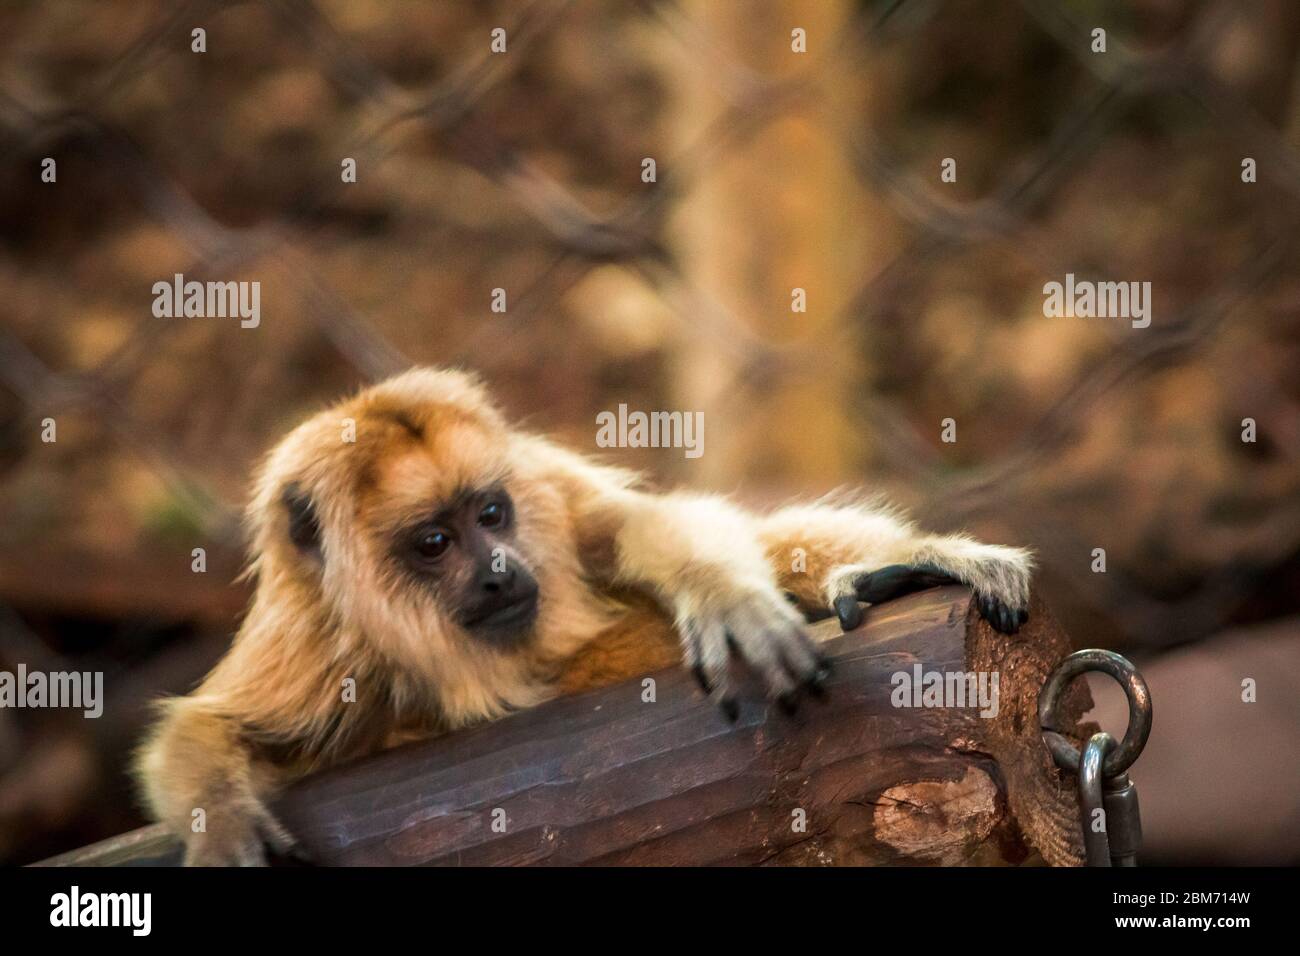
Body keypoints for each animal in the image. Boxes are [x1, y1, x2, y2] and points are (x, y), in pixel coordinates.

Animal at [135, 367, 1032, 865]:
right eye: (435, 542)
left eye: (492, 513)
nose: (500, 572)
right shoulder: (314, 640)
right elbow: (209, 725)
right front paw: (218, 822)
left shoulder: (550, 497)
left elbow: (648, 527)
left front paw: (722, 592)